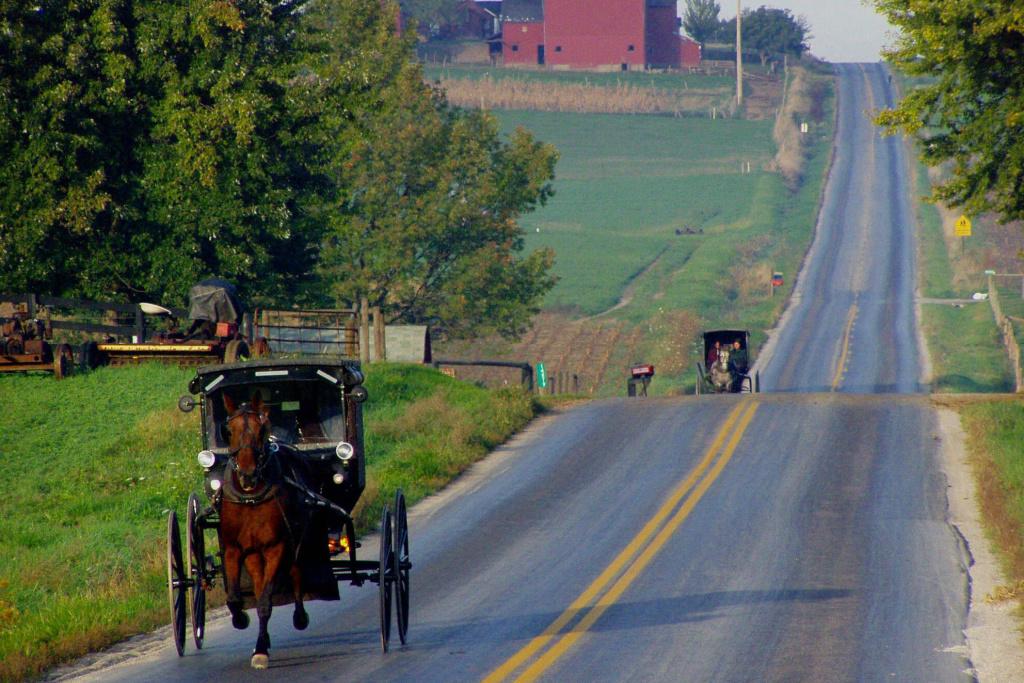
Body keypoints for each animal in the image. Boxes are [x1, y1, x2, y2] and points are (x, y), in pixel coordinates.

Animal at [220, 393, 307, 671]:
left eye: (261, 430)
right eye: (229, 431)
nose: (247, 475)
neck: (249, 498)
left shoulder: (276, 547)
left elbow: (266, 601)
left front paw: (260, 650)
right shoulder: (234, 549)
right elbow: (235, 598)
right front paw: (241, 620)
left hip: (293, 541)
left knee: (296, 572)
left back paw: (300, 616)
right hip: (254, 555)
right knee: (258, 587)